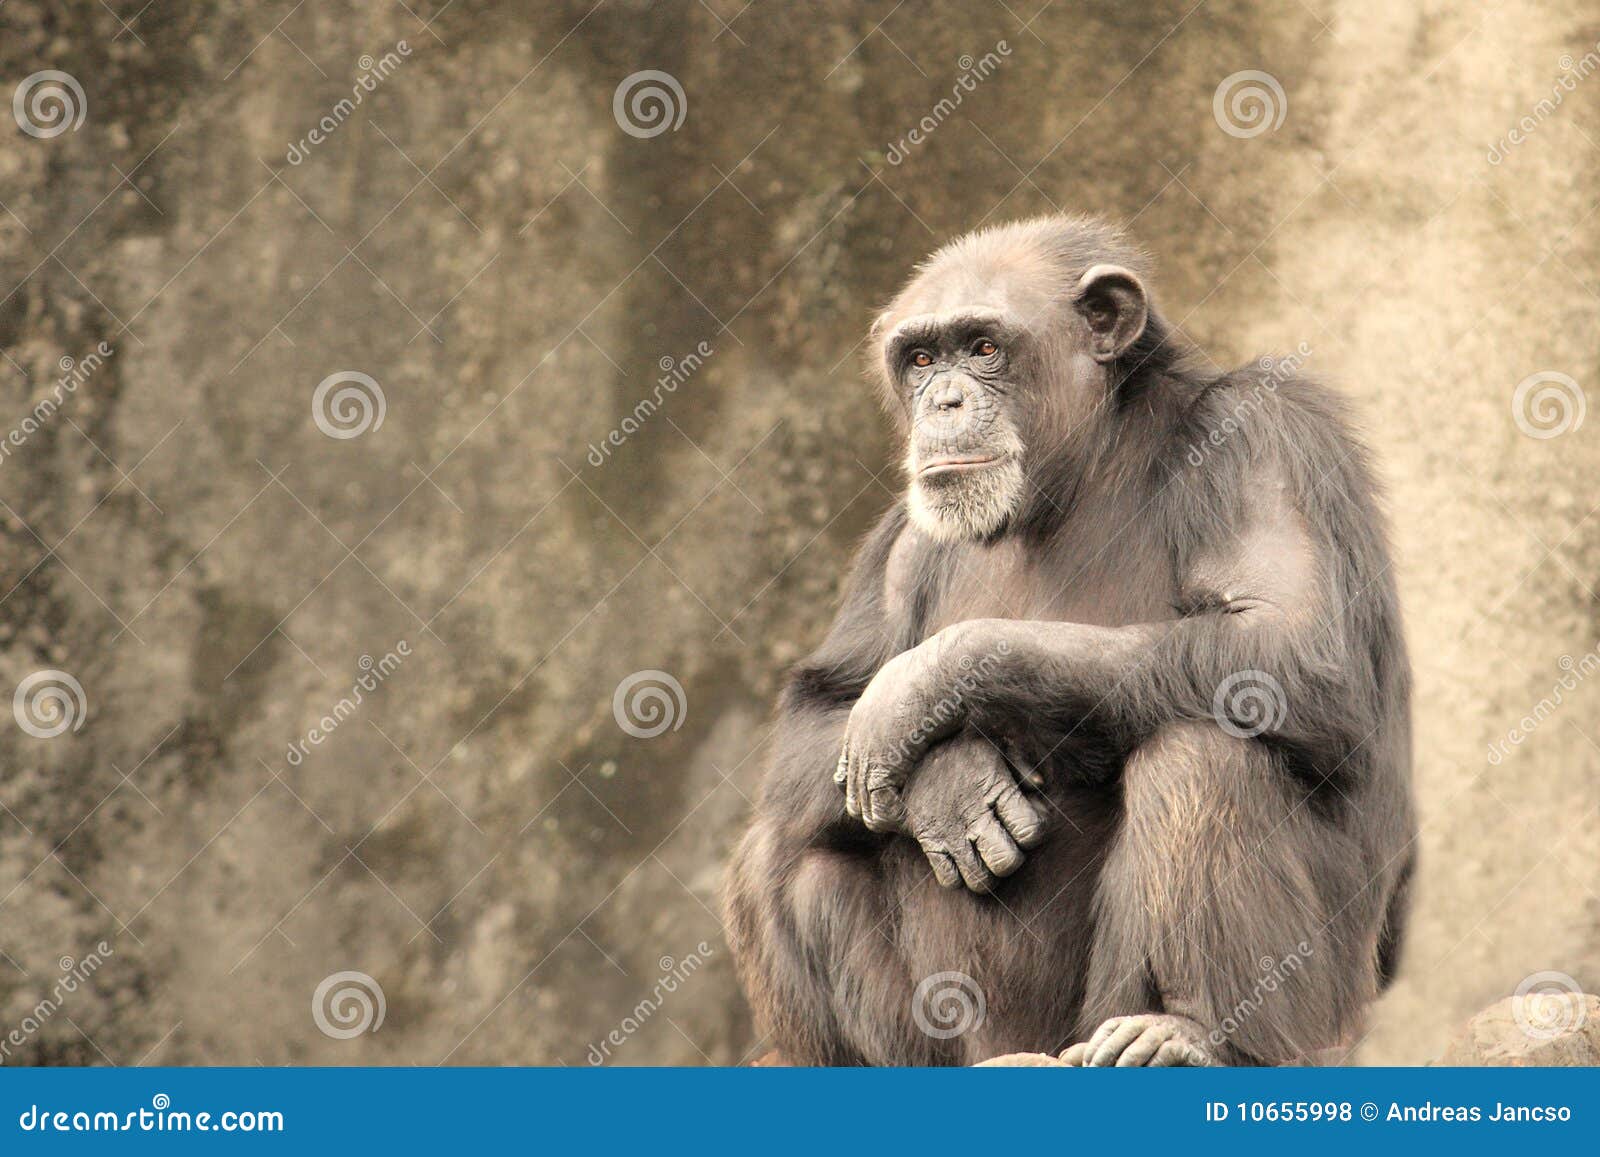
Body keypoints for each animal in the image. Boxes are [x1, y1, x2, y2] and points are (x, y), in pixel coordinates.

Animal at [722, 215, 1415, 1067]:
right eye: (920, 359)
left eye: (983, 347)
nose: (943, 399)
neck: (1079, 465)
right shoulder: (898, 545)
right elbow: (817, 709)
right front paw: (947, 778)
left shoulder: (1261, 436)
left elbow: (1292, 640)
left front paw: (927, 687)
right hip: (962, 1037)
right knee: (777, 847)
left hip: (1298, 1024)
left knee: (1206, 752)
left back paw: (1187, 1031)